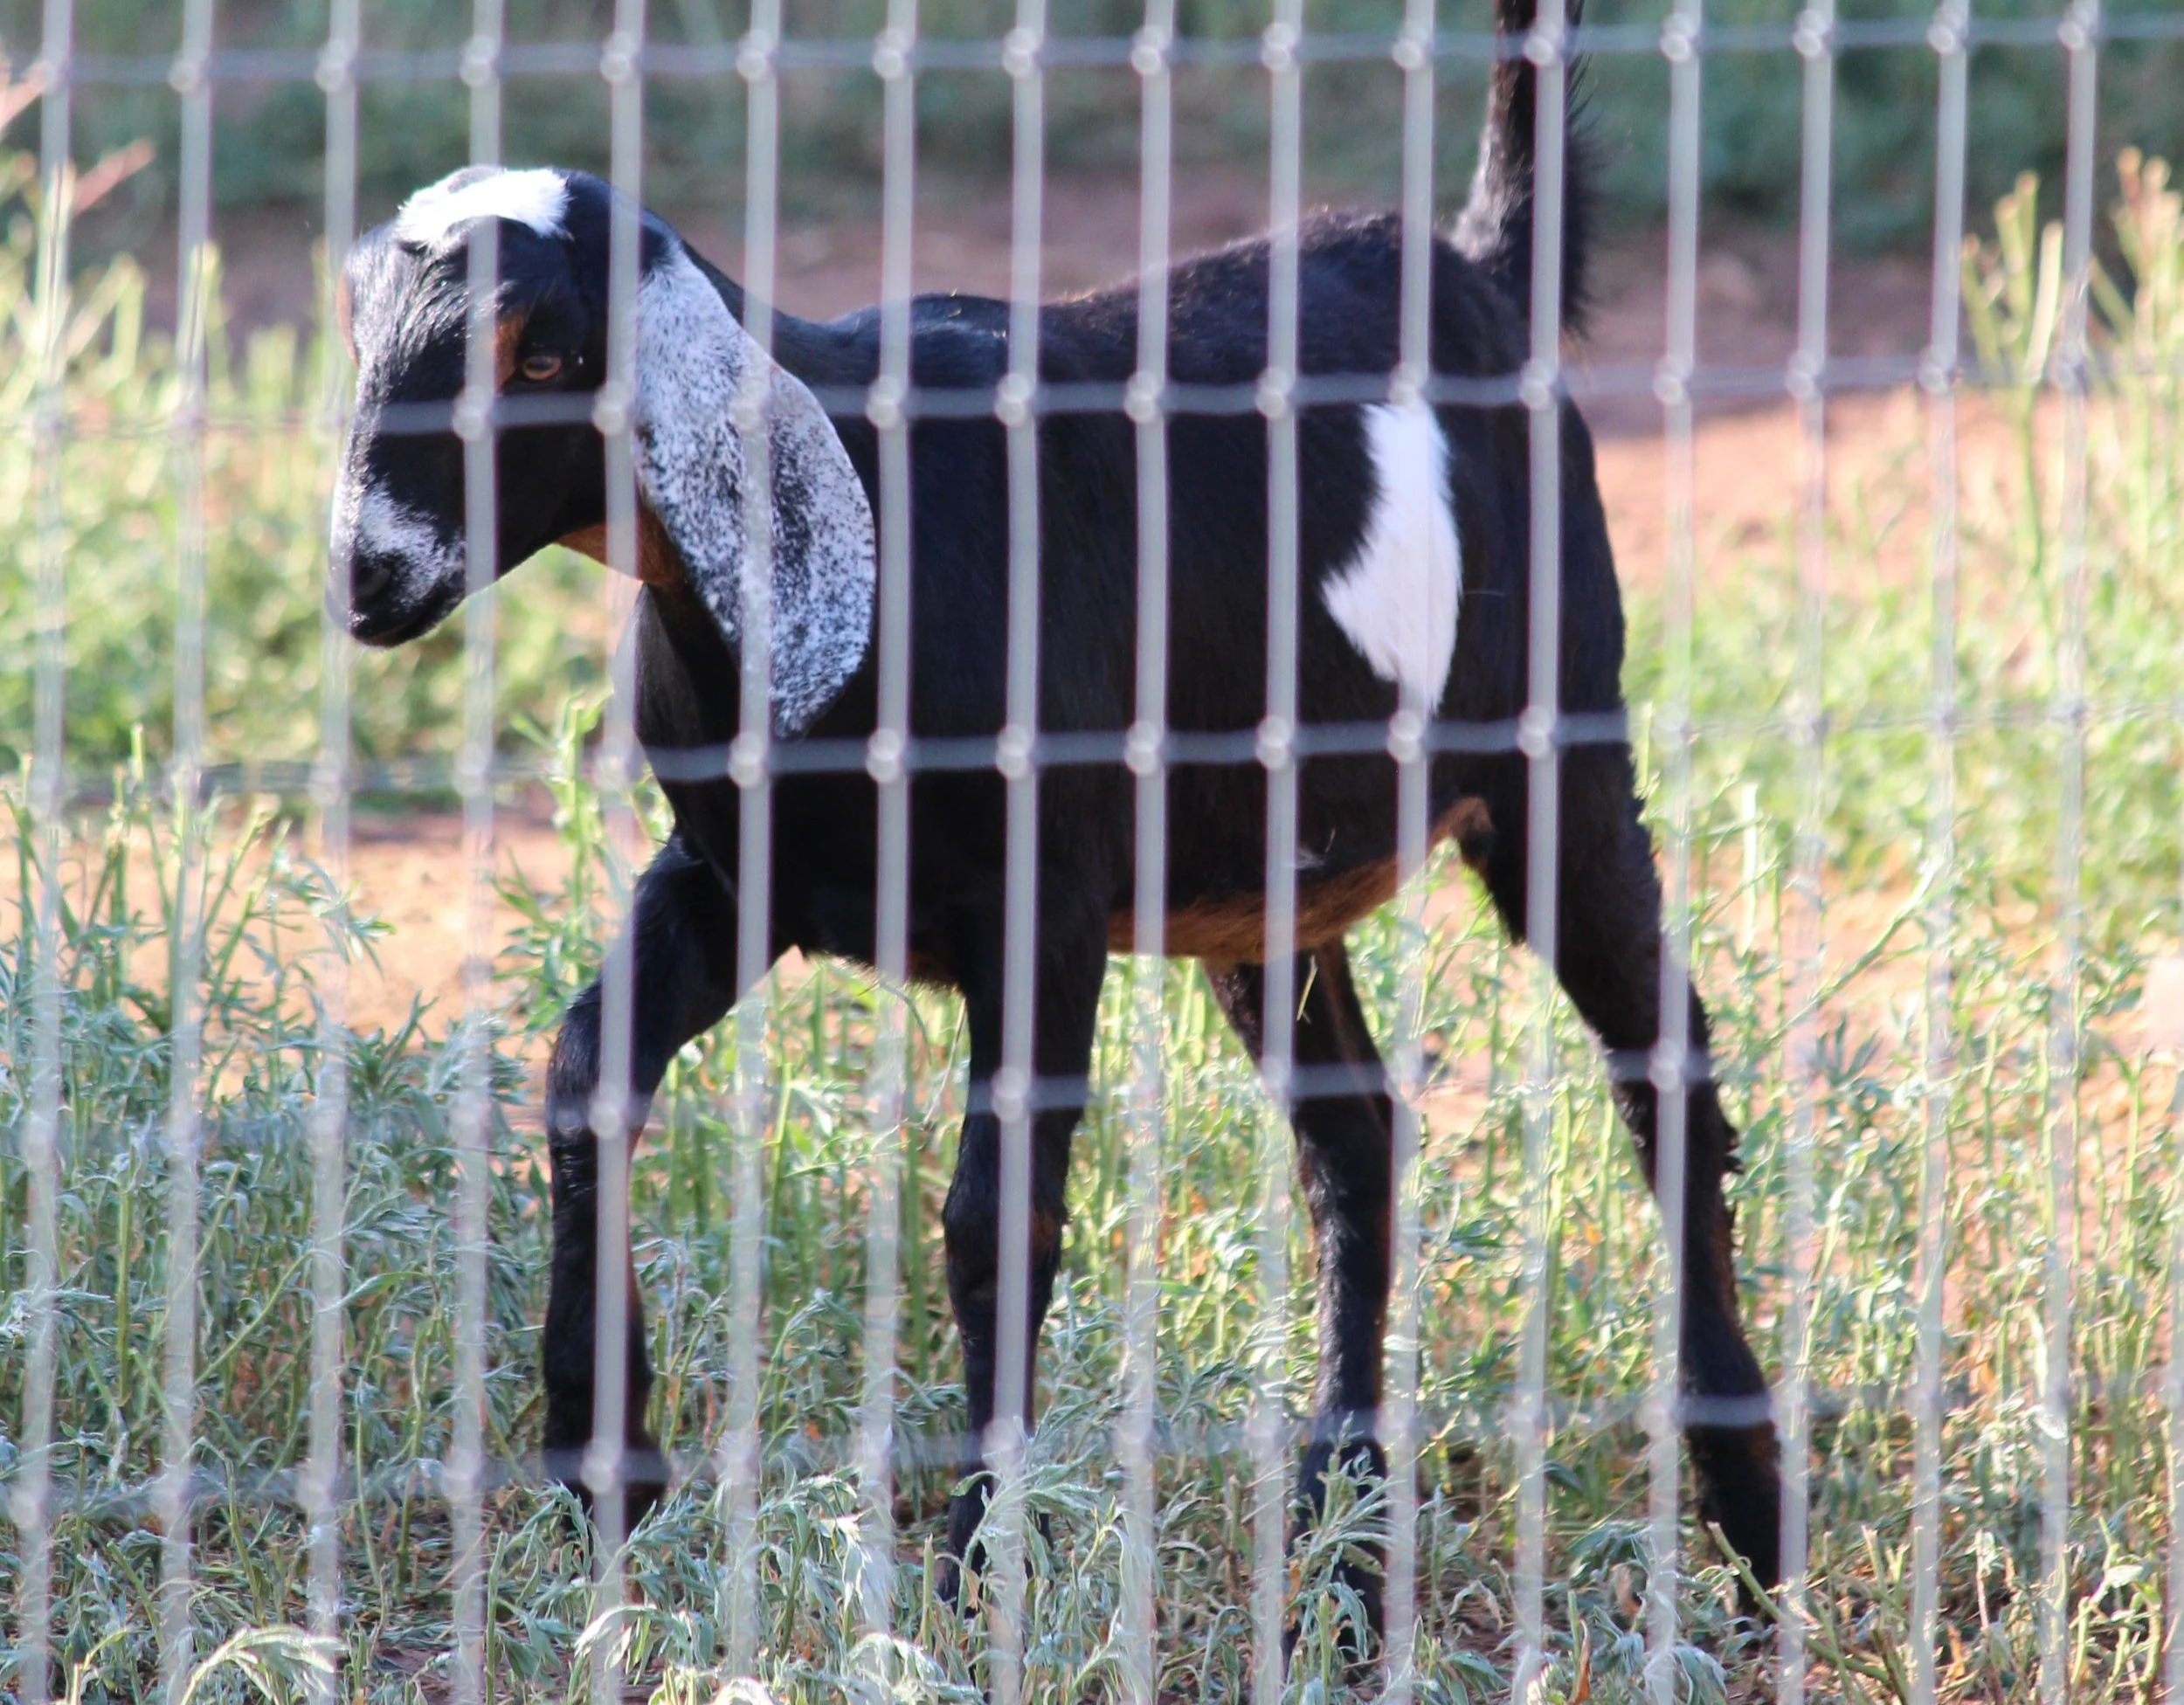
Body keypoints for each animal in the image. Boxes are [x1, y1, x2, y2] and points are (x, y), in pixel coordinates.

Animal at [329, 0, 1782, 1629]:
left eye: (548, 353)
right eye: (364, 335)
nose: (371, 572)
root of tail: (1483, 266)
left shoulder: (1045, 912)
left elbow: (993, 1218)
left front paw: (979, 1560)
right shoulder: (731, 875)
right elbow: (586, 1073)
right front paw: (605, 1469)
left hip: (1560, 753)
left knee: (1665, 1073)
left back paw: (1748, 1522)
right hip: (1257, 872)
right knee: (1357, 1138)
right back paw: (1341, 1541)